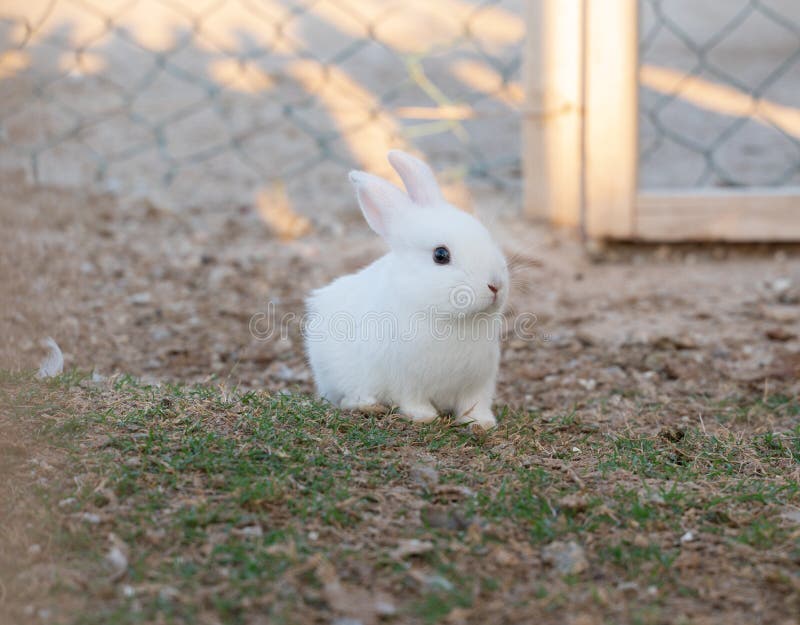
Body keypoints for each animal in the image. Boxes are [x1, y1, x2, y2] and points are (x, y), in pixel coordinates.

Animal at [304, 150, 508, 429]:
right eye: (440, 255)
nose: (496, 285)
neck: (447, 318)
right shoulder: (406, 381)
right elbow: (413, 401)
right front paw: (423, 417)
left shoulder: (478, 382)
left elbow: (474, 405)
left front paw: (482, 424)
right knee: (346, 398)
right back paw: (368, 406)